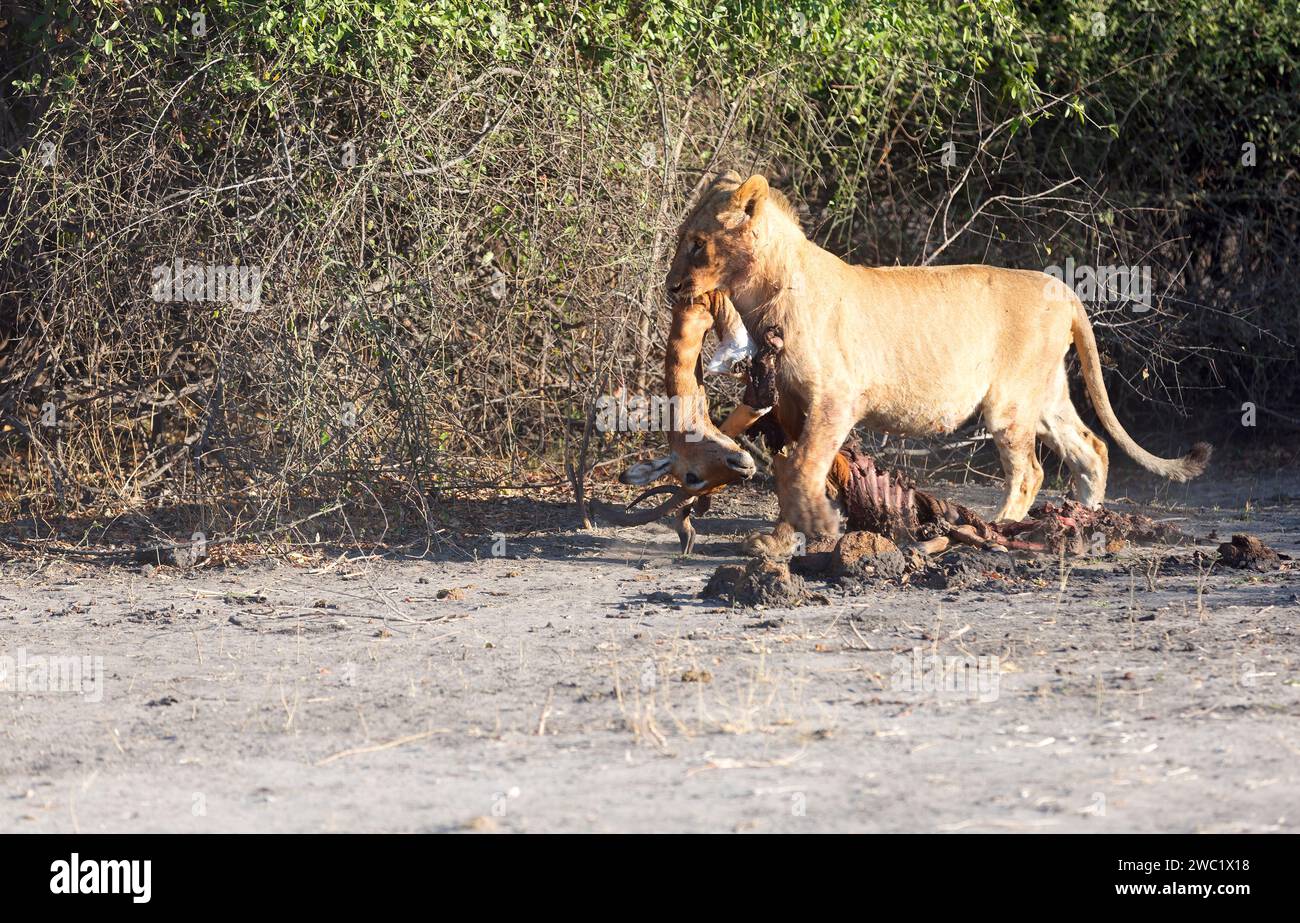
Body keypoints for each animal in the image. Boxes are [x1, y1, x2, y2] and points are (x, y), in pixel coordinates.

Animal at [664, 171, 1211, 552]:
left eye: (697, 244)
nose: (671, 287)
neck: (765, 292)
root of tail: (1062, 289)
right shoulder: (792, 405)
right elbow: (790, 470)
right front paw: (779, 538)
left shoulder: (836, 401)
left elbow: (802, 469)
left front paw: (816, 527)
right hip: (1047, 394)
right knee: (1091, 449)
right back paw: (1086, 520)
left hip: (1009, 402)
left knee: (1031, 471)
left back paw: (1000, 528)